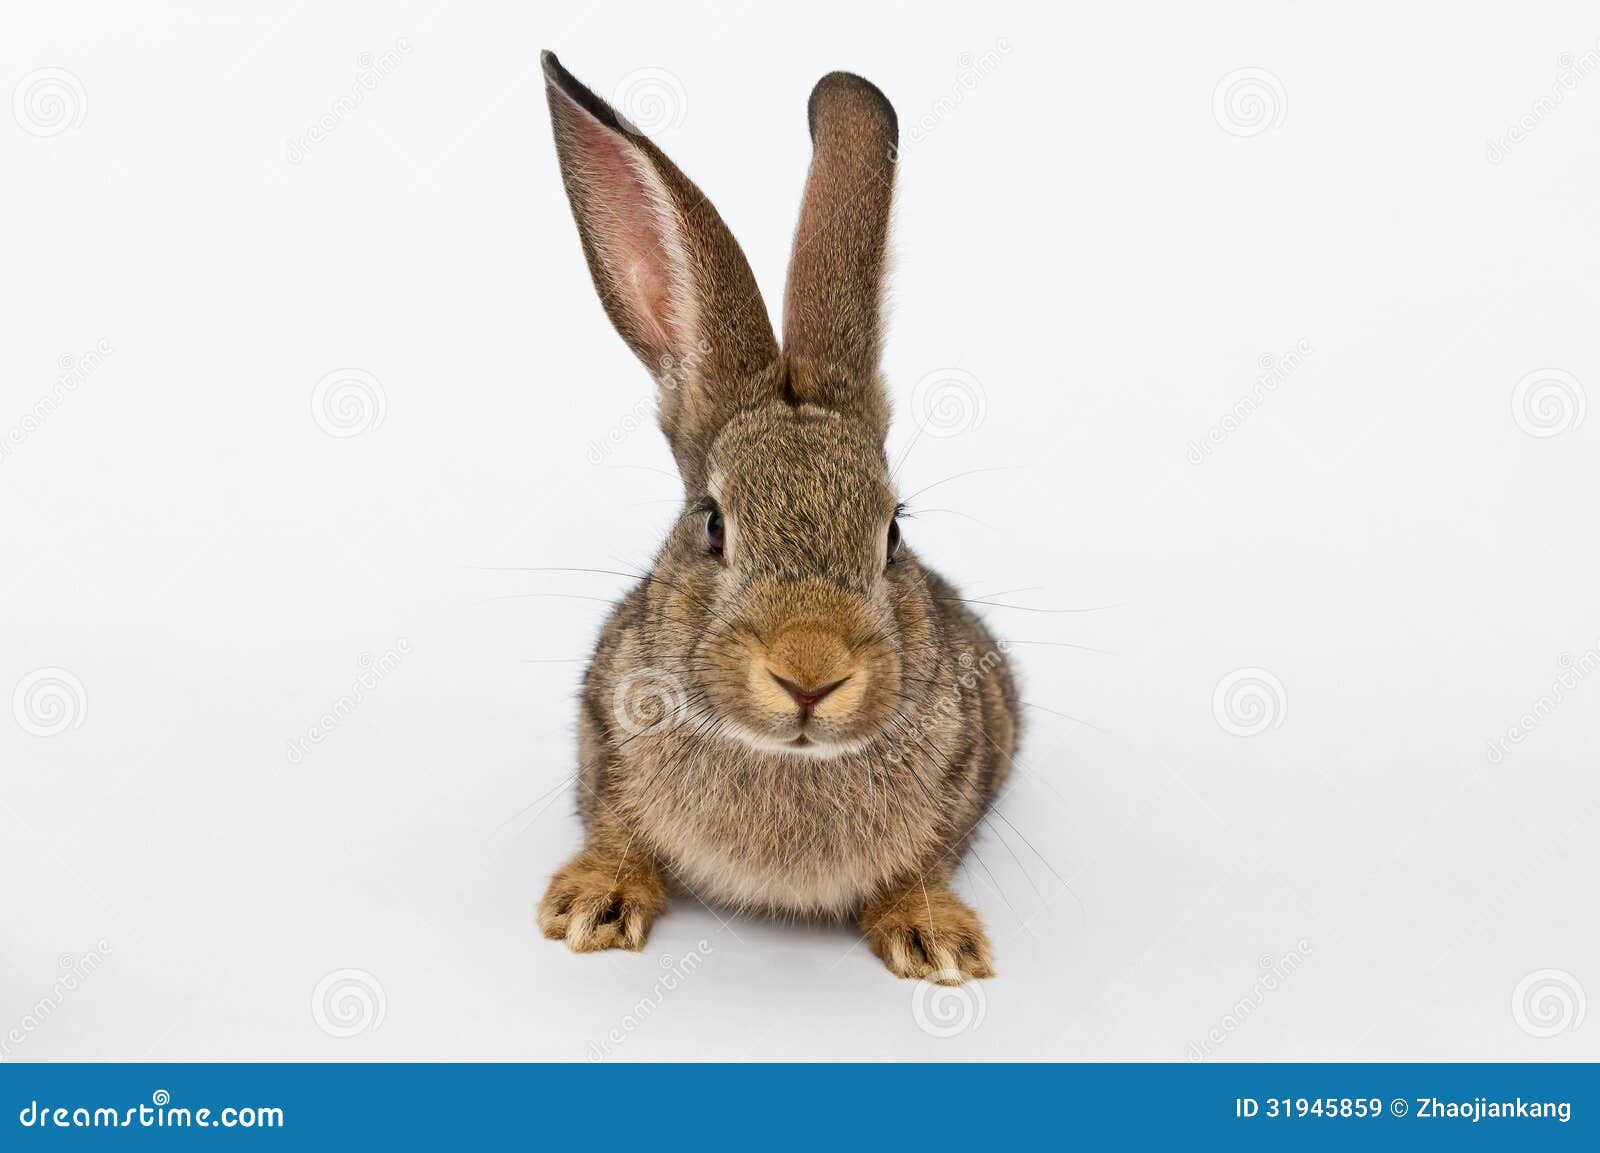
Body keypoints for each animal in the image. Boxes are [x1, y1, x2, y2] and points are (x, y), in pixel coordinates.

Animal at [535, 51, 1019, 984]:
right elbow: (615, 826)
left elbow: (925, 861)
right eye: (714, 525)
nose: (810, 672)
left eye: (892, 534)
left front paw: (937, 939)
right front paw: (590, 904)